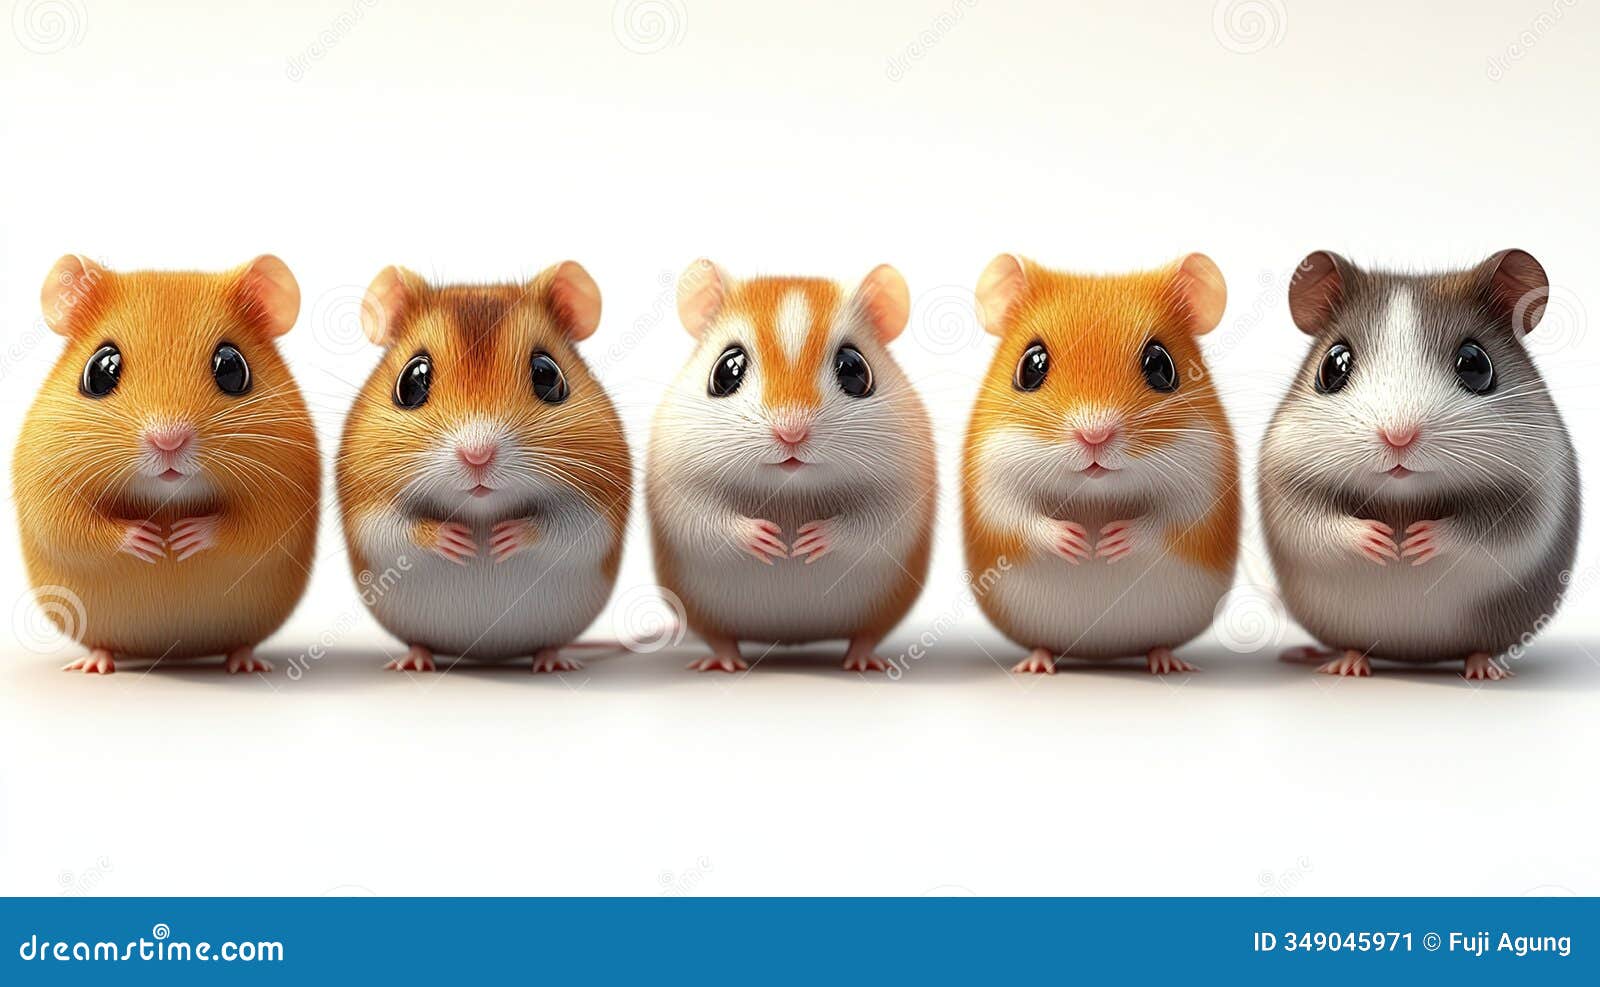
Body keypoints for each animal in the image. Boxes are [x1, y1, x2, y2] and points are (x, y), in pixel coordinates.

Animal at [12, 254, 320, 674]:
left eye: (232, 367)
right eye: (100, 370)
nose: (168, 440)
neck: (168, 498)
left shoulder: (286, 496)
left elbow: (256, 530)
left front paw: (183, 537)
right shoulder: (46, 487)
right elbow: (71, 530)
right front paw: (150, 539)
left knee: (241, 643)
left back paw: (245, 663)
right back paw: (94, 664)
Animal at [336, 262, 631, 673]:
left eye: (548, 375)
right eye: (412, 381)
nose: (477, 455)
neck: (482, 511)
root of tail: (486, 654)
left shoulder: (597, 510)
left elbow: (568, 529)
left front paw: (502, 538)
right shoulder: (368, 509)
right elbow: (394, 530)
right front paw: (458, 540)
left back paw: (552, 662)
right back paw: (414, 660)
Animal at [647, 260, 936, 672]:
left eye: (855, 369)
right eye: (726, 371)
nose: (791, 433)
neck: (790, 489)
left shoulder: (902, 493)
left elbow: (872, 526)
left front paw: (808, 540)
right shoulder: (677, 489)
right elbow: (704, 520)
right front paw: (767, 539)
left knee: (866, 636)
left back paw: (863, 661)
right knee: (720, 638)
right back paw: (723, 662)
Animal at [962, 254, 1240, 674]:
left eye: (1161, 365)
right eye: (1031, 365)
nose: (1095, 435)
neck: (1096, 496)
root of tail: (1100, 651)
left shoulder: (1205, 494)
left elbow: (1168, 523)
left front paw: (1110, 541)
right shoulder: (990, 488)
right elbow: (1018, 518)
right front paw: (1077, 543)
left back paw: (1167, 663)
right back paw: (1037, 664)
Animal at [1259, 249, 1580, 680]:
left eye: (1476, 365)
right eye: (1333, 366)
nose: (1399, 436)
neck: (1404, 498)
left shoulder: (1537, 491)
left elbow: (1498, 533)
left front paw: (1417, 541)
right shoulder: (1285, 481)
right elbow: (1311, 526)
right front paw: (1380, 541)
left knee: (1478, 648)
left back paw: (1484, 669)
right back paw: (1344, 663)